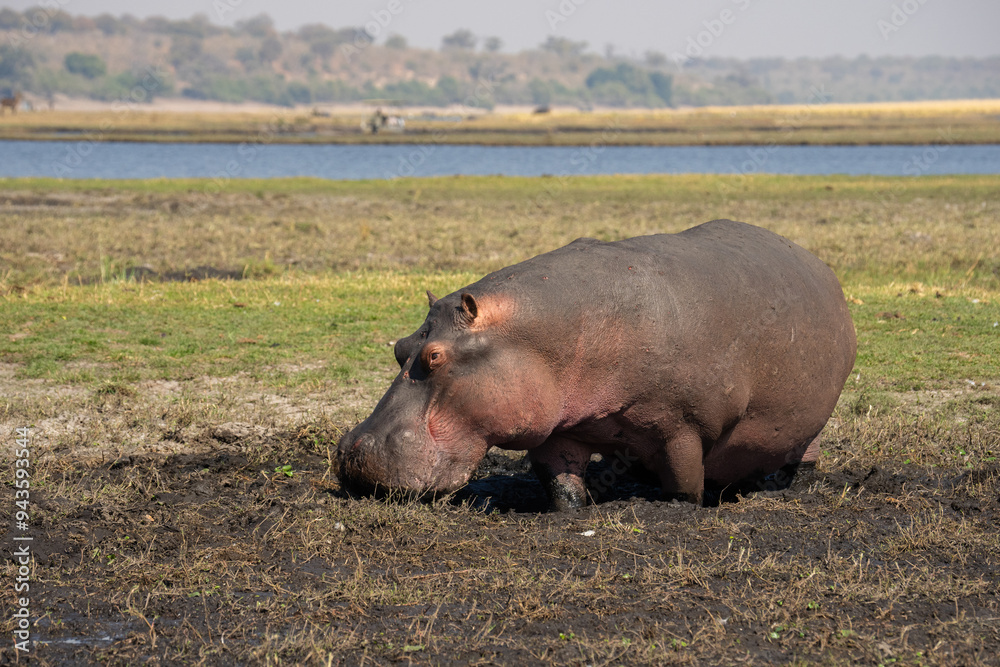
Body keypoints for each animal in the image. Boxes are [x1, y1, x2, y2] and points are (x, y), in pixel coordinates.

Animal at [338, 220, 857, 510]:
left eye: (434, 356)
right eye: (400, 347)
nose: (353, 449)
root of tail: (821, 267)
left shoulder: (684, 427)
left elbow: (686, 488)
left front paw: (680, 507)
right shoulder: (558, 430)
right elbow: (562, 486)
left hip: (804, 429)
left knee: (794, 460)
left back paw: (779, 485)